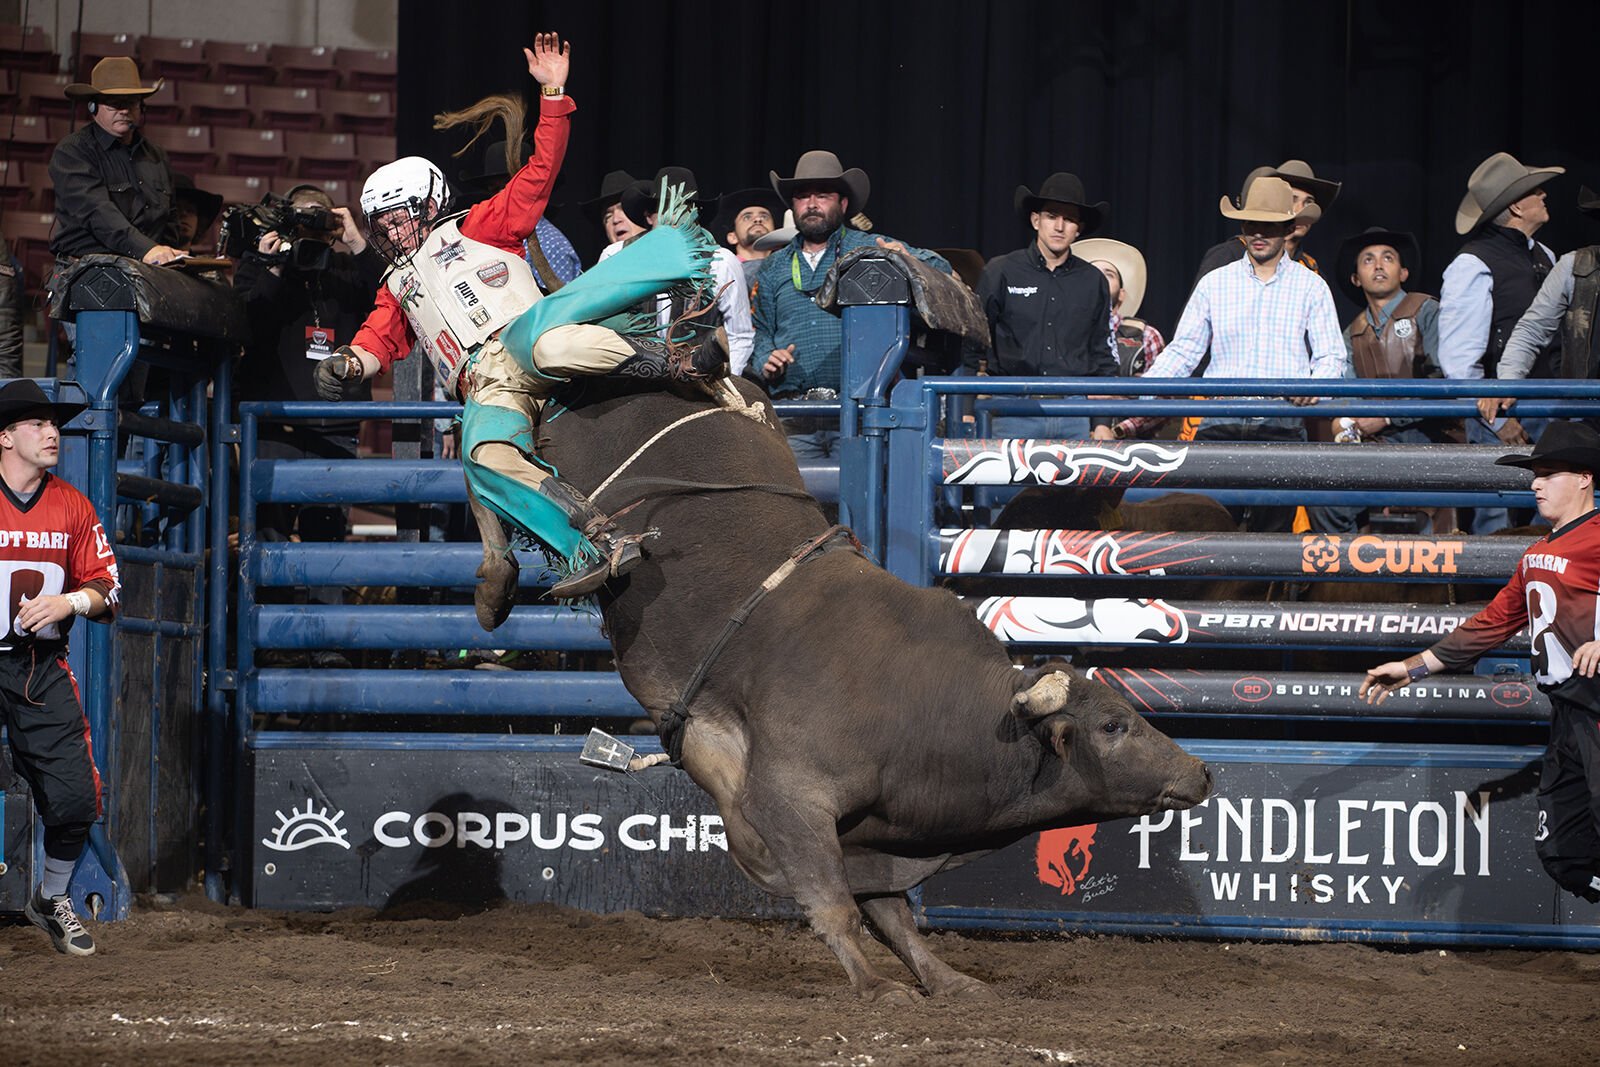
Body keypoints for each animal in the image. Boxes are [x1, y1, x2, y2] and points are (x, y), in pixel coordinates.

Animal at [535, 376, 1212, 1003]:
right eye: (1113, 726)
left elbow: (892, 914)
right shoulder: (789, 799)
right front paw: (875, 985)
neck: (924, 704)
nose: (1202, 772)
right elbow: (834, 903)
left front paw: (946, 979)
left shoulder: (869, 834)